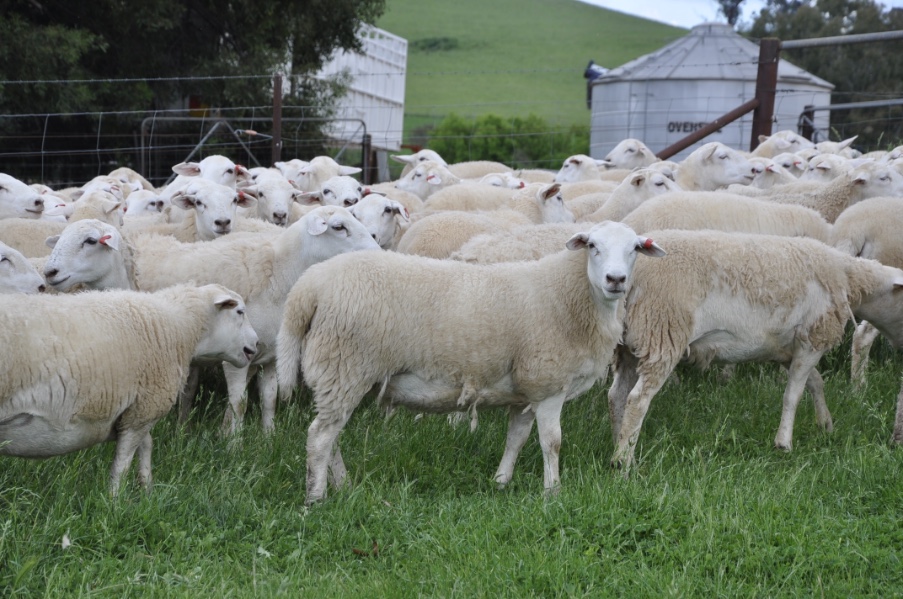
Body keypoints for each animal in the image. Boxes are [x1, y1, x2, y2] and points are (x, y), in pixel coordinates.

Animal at [0, 283, 258, 495]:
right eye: (239, 312)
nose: (256, 344)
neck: (178, 328)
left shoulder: (137, 411)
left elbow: (146, 446)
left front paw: (147, 490)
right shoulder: (142, 411)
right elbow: (122, 464)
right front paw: (114, 503)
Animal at [276, 220, 665, 503]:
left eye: (634, 249)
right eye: (593, 246)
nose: (616, 280)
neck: (569, 296)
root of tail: (307, 289)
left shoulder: (526, 390)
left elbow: (517, 438)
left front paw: (501, 481)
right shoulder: (548, 383)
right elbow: (552, 442)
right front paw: (553, 493)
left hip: (341, 373)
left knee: (330, 435)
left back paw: (343, 485)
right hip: (345, 364)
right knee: (320, 438)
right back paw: (316, 498)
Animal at [607, 229, 903, 472]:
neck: (847, 278)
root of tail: (632, 275)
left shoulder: (787, 348)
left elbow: (815, 382)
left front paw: (825, 425)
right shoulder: (811, 339)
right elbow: (793, 395)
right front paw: (784, 443)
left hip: (629, 343)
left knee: (616, 395)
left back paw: (618, 442)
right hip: (662, 328)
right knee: (637, 400)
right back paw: (623, 462)